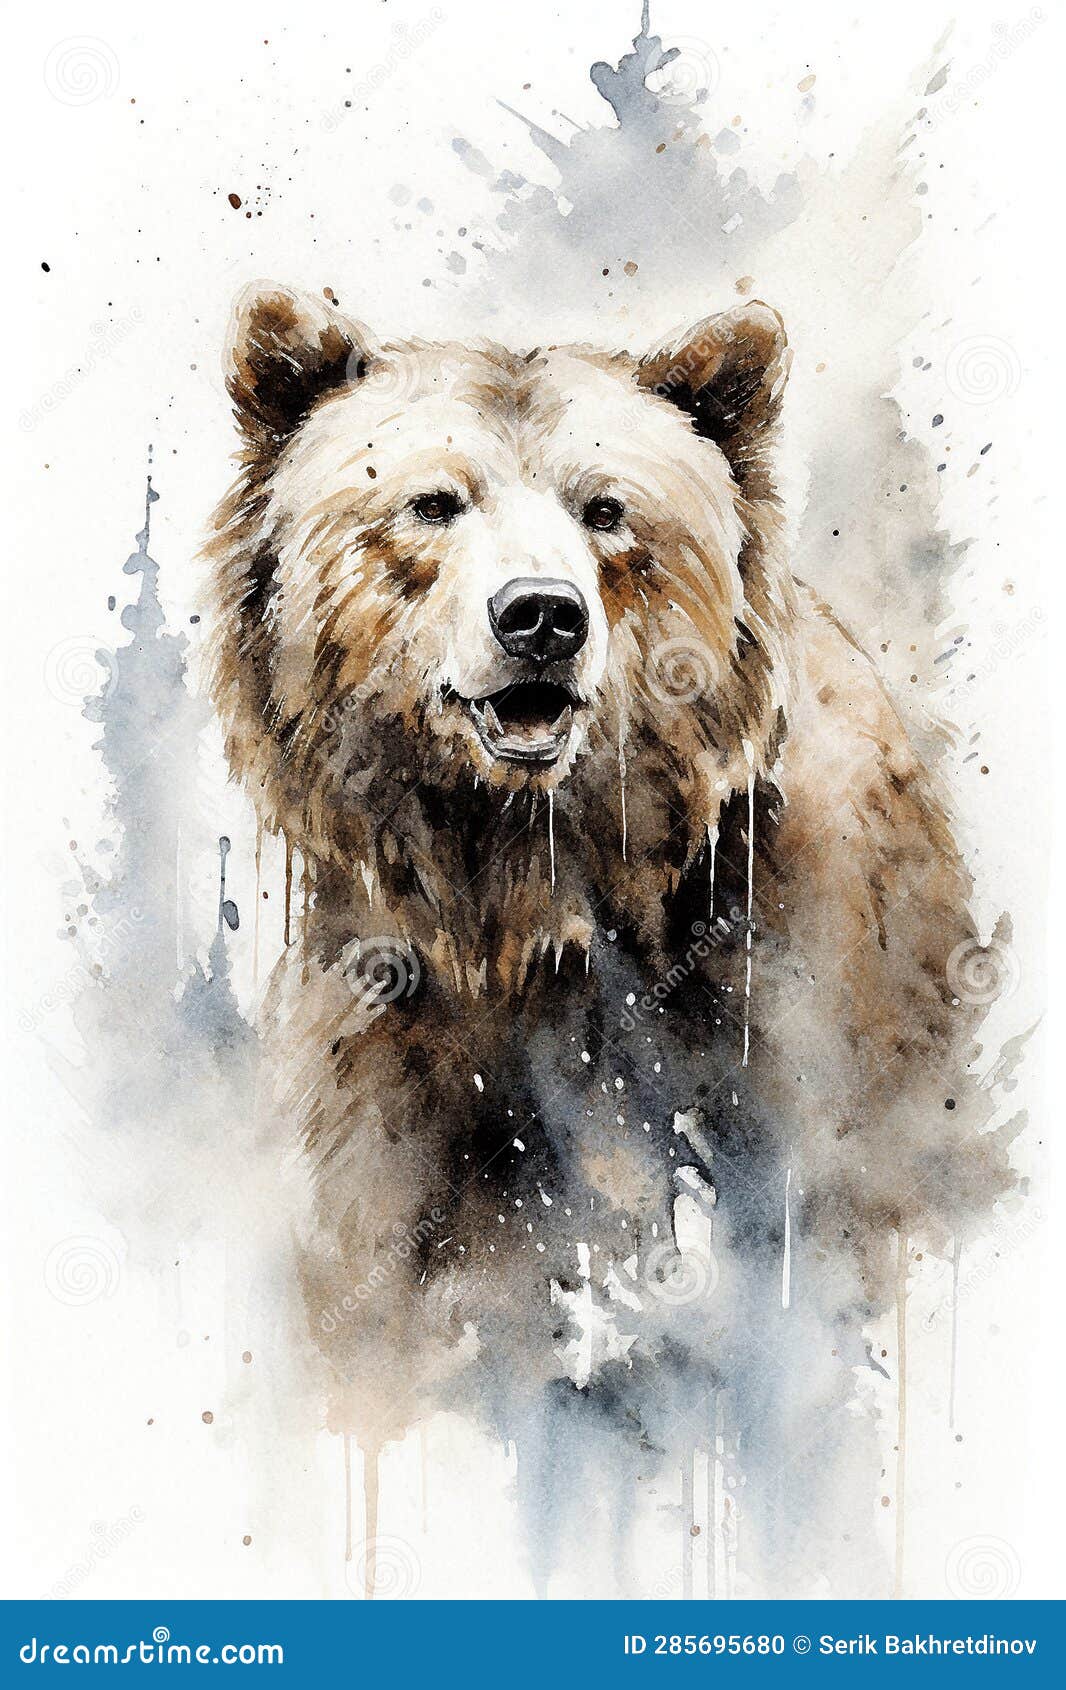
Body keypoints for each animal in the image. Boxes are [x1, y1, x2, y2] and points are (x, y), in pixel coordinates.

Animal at [206, 282, 1014, 1597]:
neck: (530, 898)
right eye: (433, 500)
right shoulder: (390, 1053)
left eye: (606, 509)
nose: (539, 617)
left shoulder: (781, 1022)